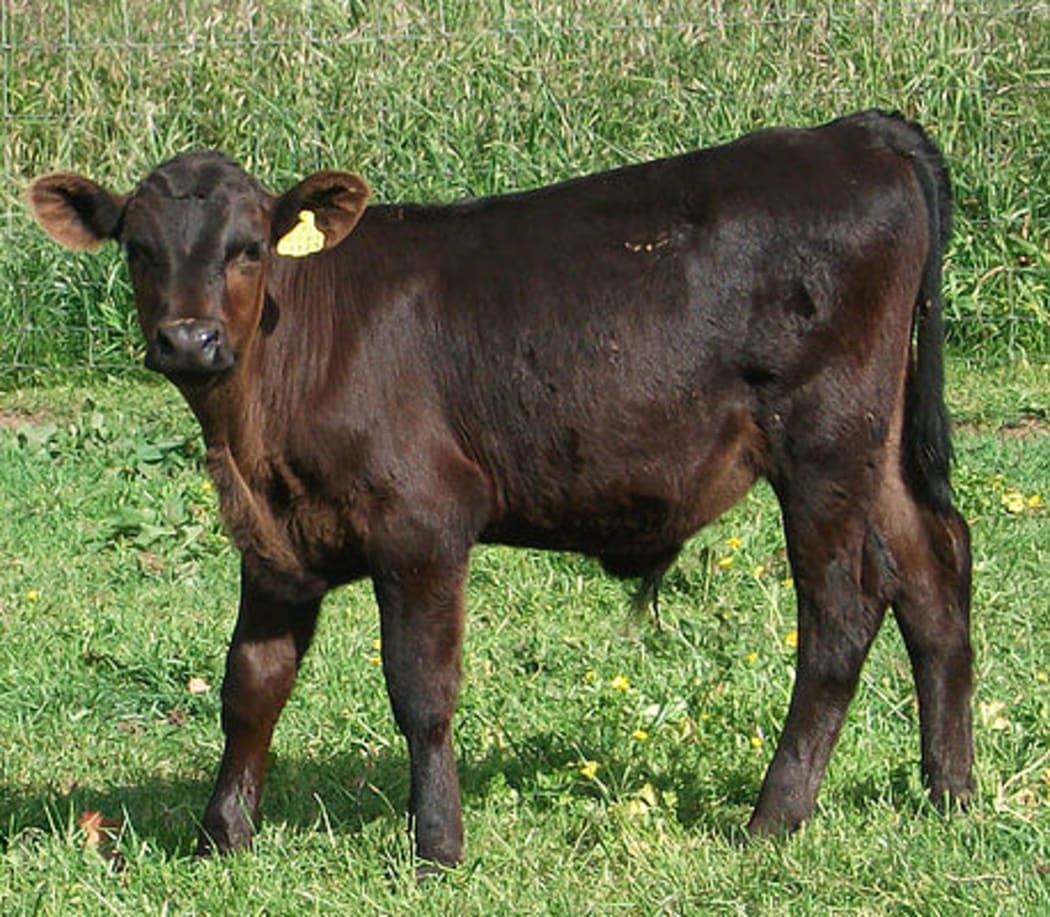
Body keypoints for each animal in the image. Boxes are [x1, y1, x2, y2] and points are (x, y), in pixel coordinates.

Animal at [27, 110, 973, 871]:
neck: (256, 435)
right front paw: (220, 837)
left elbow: (421, 690)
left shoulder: (422, 524)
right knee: (934, 571)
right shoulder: (274, 544)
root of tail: (853, 133)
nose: (189, 339)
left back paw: (774, 816)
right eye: (138, 249)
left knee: (843, 612)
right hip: (878, 442)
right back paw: (949, 791)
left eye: (250, 247)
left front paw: (437, 845)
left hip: (824, 441)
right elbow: (250, 685)